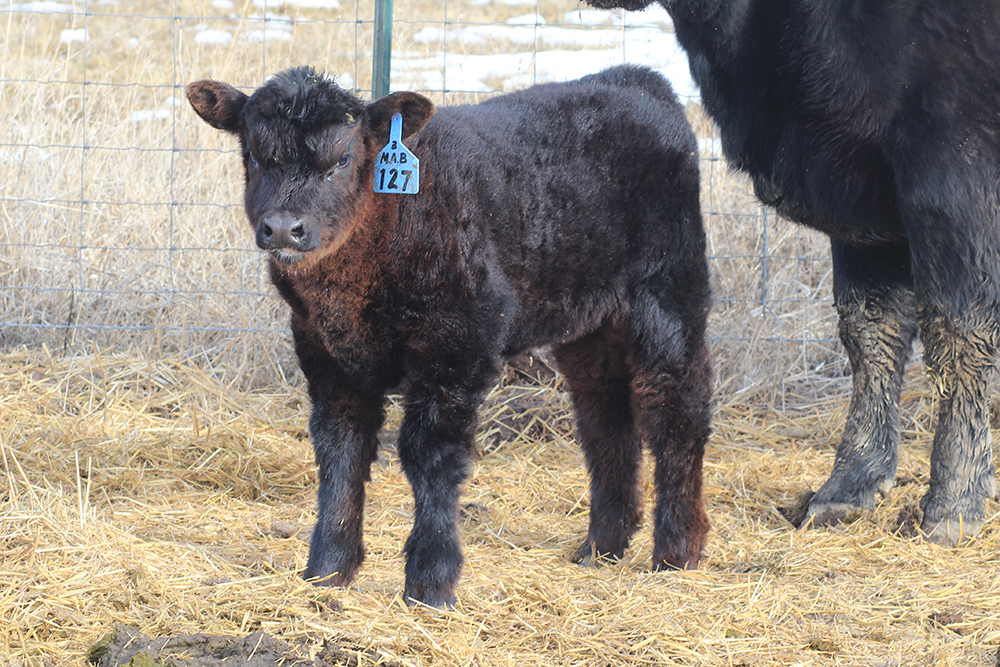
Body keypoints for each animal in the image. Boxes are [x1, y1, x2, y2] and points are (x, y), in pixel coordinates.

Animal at [186, 64, 713, 607]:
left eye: (343, 159)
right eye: (252, 155)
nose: (283, 228)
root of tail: (633, 79)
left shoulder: (458, 344)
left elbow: (430, 453)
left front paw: (431, 580)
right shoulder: (325, 353)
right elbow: (339, 450)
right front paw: (328, 569)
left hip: (669, 297)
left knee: (676, 409)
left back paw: (676, 550)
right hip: (589, 327)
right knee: (605, 418)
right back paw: (601, 545)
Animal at [585, 0, 1000, 545]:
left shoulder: (952, 173)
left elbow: (958, 332)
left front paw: (955, 501)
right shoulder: (861, 199)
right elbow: (871, 331)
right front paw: (849, 485)